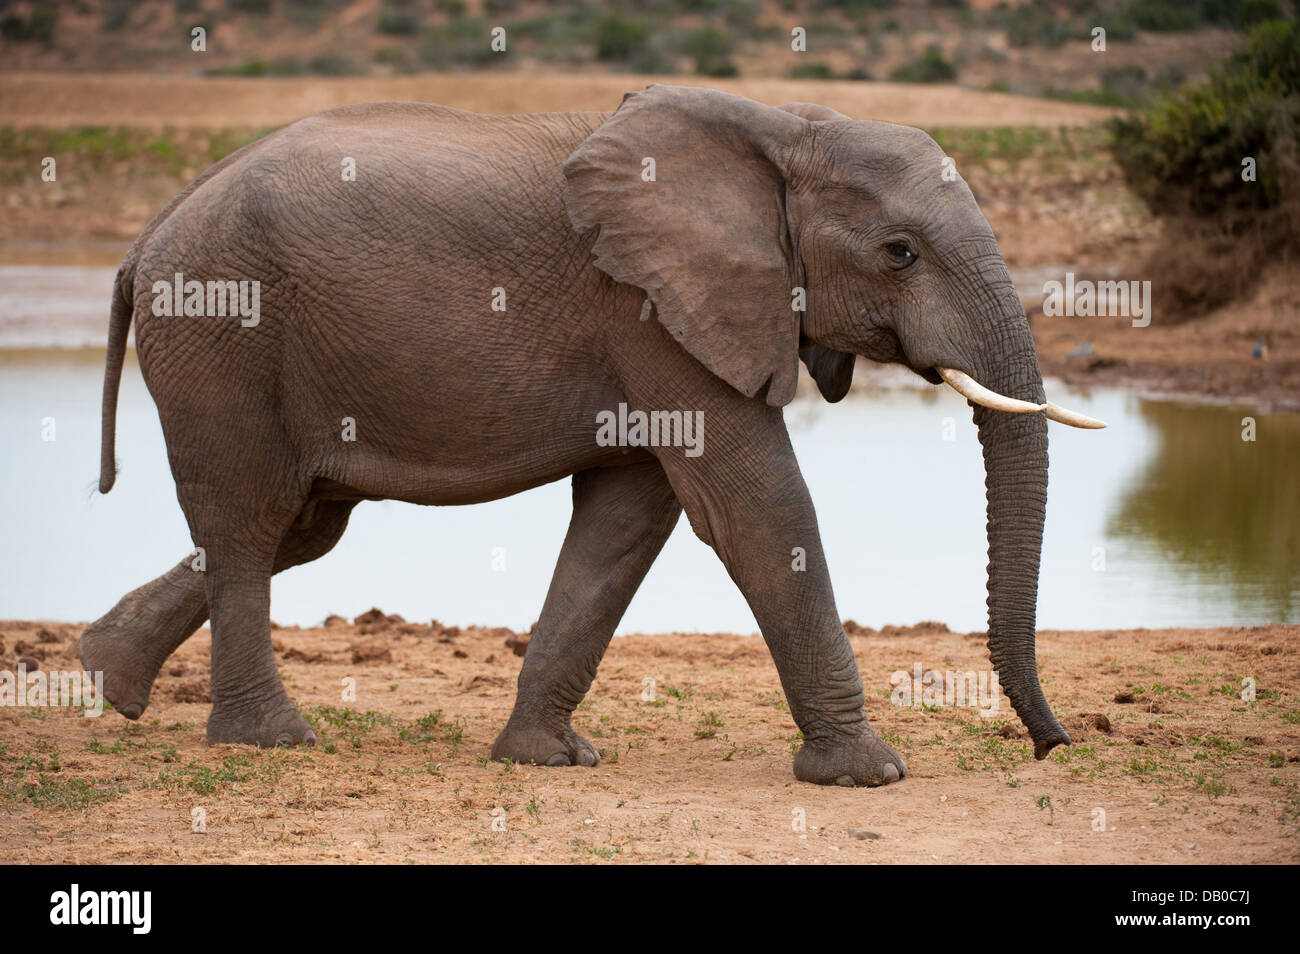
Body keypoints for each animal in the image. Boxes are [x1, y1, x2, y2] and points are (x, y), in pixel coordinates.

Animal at [78, 85, 1103, 787]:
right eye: (900, 254)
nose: (1051, 748)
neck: (782, 126)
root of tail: (143, 239)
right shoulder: (649, 310)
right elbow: (755, 508)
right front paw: (867, 774)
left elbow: (627, 521)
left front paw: (546, 757)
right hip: (222, 330)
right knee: (250, 521)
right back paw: (270, 739)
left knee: (297, 526)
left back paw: (106, 677)